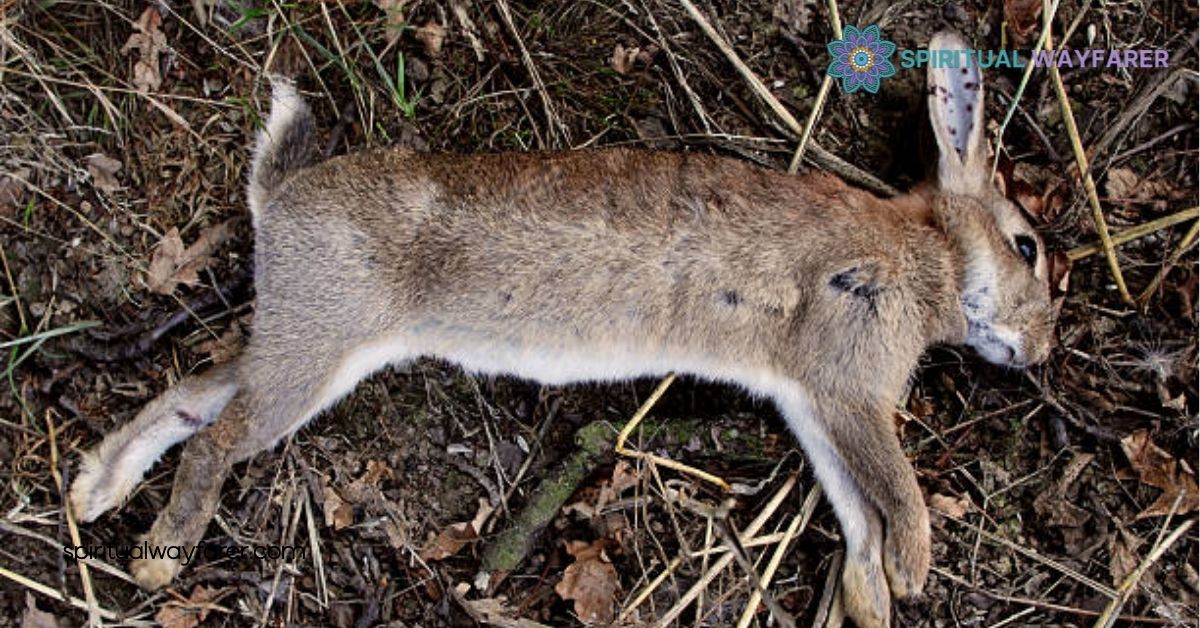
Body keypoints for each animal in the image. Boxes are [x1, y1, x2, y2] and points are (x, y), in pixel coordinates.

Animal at [70, 31, 1059, 627]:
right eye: (1029, 245)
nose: (1041, 349)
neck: (929, 257)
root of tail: (275, 196)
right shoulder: (850, 385)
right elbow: (892, 488)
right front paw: (915, 571)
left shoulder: (813, 401)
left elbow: (853, 507)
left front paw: (869, 598)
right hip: (317, 346)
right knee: (219, 435)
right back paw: (158, 560)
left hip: (304, 337)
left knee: (195, 393)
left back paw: (93, 492)